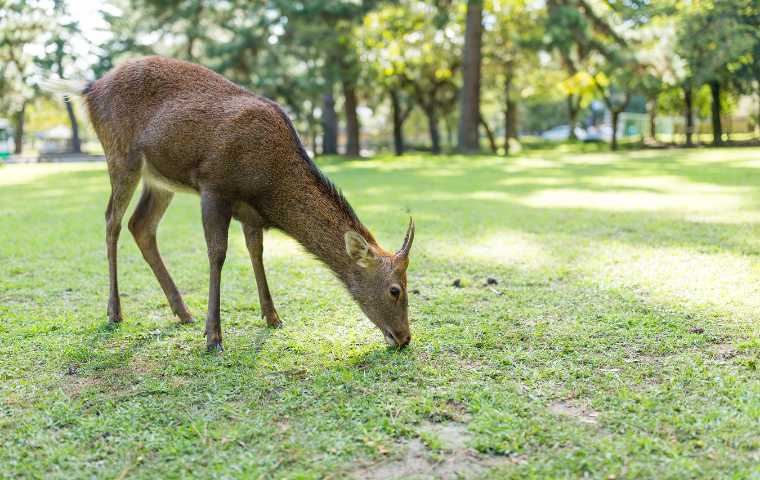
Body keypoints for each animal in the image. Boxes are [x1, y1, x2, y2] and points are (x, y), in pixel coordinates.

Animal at [48, 56, 415, 352]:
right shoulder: (214, 187)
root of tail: (90, 88)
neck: (269, 185)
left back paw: (183, 311)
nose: (404, 338)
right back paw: (115, 312)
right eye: (395, 290)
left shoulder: (250, 213)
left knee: (141, 225)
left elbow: (256, 253)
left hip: (160, 180)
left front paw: (273, 317)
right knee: (112, 220)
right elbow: (218, 254)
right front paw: (214, 337)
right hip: (121, 155)